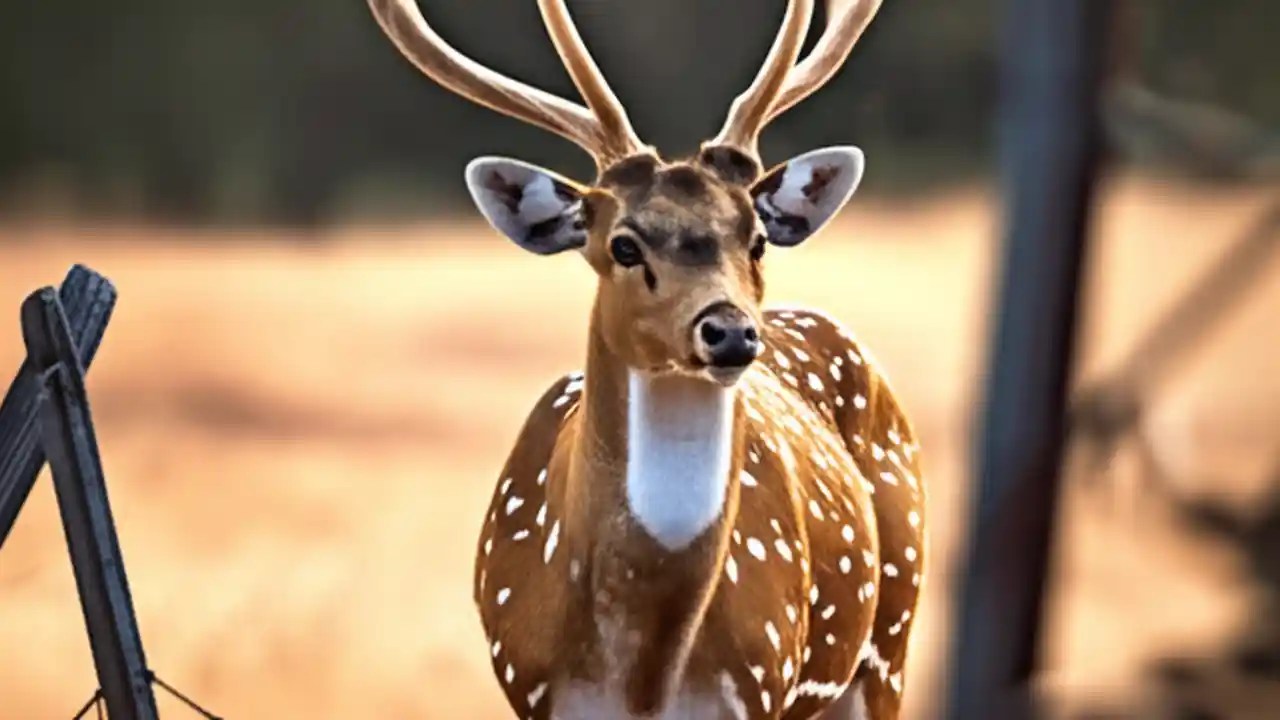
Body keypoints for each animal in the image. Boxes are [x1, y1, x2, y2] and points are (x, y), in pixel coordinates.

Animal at [367, 0, 924, 717]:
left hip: (890, 637)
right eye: (624, 245)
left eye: (758, 238)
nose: (730, 332)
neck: (643, 668)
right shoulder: (529, 687)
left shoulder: (760, 683)